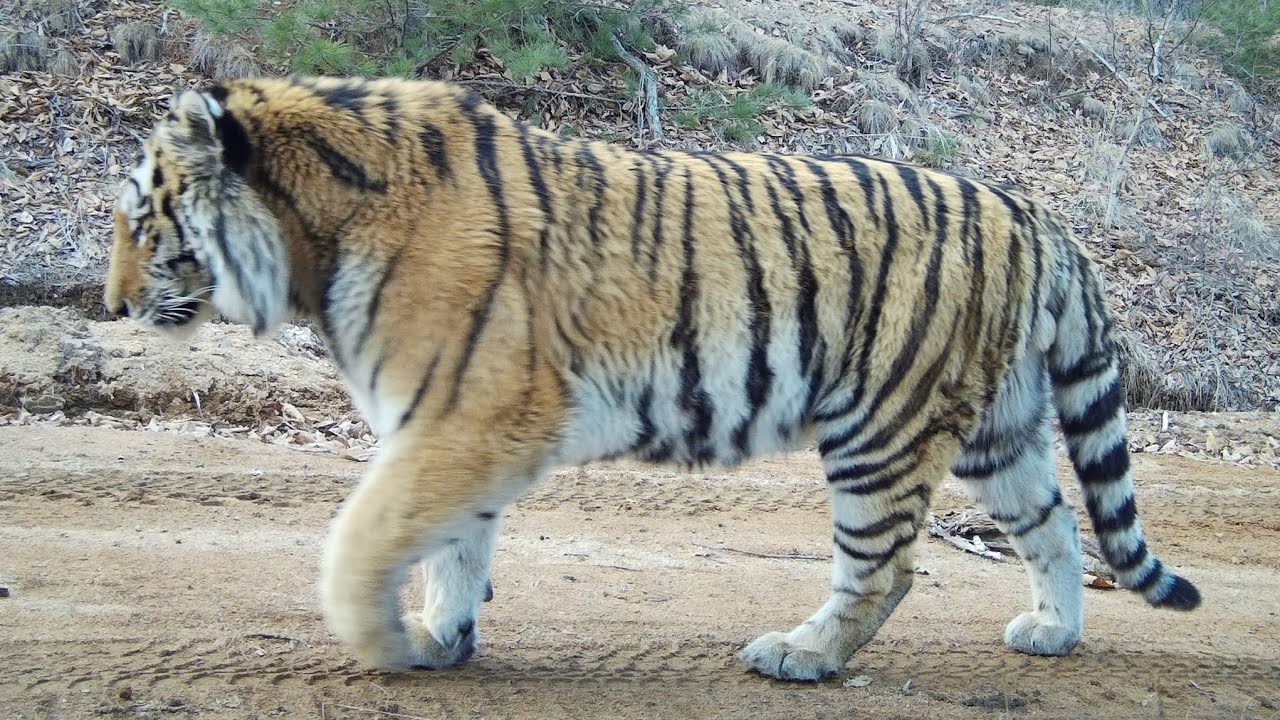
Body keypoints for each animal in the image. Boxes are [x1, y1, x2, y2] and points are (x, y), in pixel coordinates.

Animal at [103, 76, 1200, 681]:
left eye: (141, 219)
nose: (108, 304)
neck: (314, 238)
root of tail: (1037, 214)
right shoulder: (458, 426)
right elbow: (455, 542)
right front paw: (443, 636)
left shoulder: (464, 418)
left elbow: (362, 537)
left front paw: (380, 643)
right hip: (997, 432)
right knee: (1055, 523)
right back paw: (1052, 631)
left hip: (883, 426)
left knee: (886, 564)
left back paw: (802, 656)